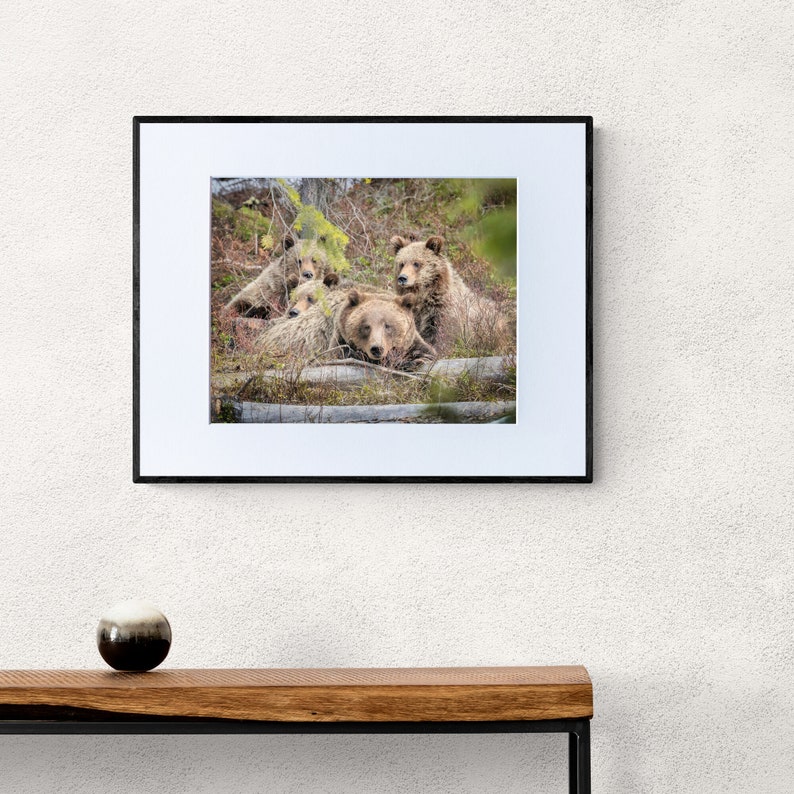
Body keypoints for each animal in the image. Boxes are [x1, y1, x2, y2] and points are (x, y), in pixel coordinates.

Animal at [257, 288, 435, 371]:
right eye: (366, 326)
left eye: (388, 325)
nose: (376, 349)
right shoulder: (336, 339)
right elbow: (344, 355)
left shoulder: (412, 339)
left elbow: (426, 351)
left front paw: (418, 359)